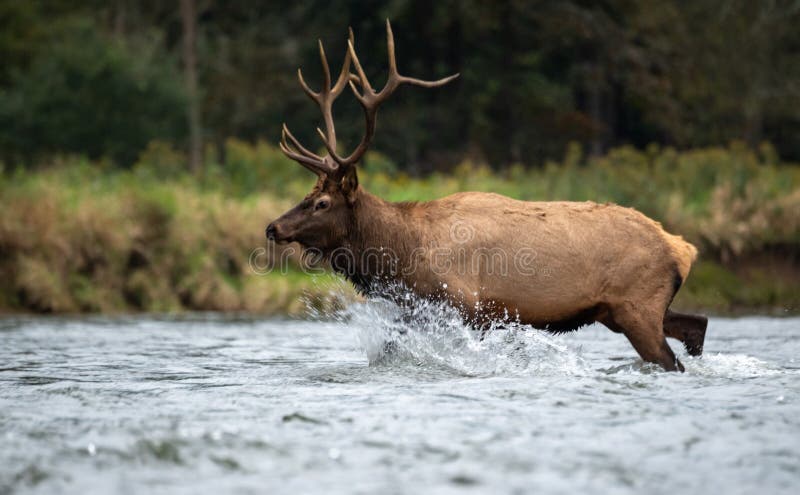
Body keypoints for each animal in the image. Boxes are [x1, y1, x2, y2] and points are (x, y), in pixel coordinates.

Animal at [266, 20, 708, 371]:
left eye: (322, 203)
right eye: (307, 194)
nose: (273, 227)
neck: (403, 253)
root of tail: (683, 248)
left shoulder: (466, 307)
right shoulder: (420, 311)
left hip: (637, 307)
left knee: (671, 358)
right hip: (621, 311)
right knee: (697, 325)